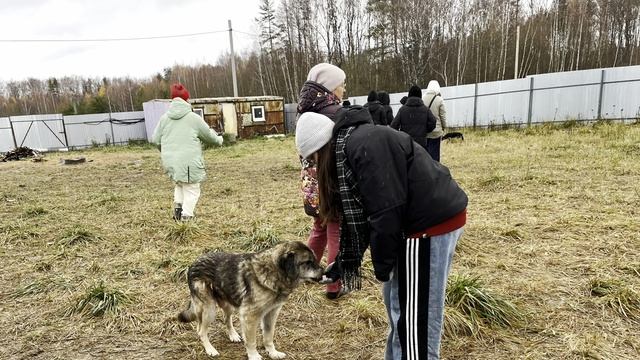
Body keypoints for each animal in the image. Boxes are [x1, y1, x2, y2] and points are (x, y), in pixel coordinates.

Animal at [176, 242, 322, 360]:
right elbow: (251, 341)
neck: (273, 272)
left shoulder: (271, 314)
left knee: (224, 319)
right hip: (210, 309)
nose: (324, 272)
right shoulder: (250, 316)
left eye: (314, 260)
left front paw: (273, 353)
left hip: (229, 305)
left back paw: (233, 335)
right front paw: (254, 356)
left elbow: (268, 337)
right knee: (201, 331)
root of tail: (193, 263)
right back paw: (210, 350)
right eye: (308, 262)